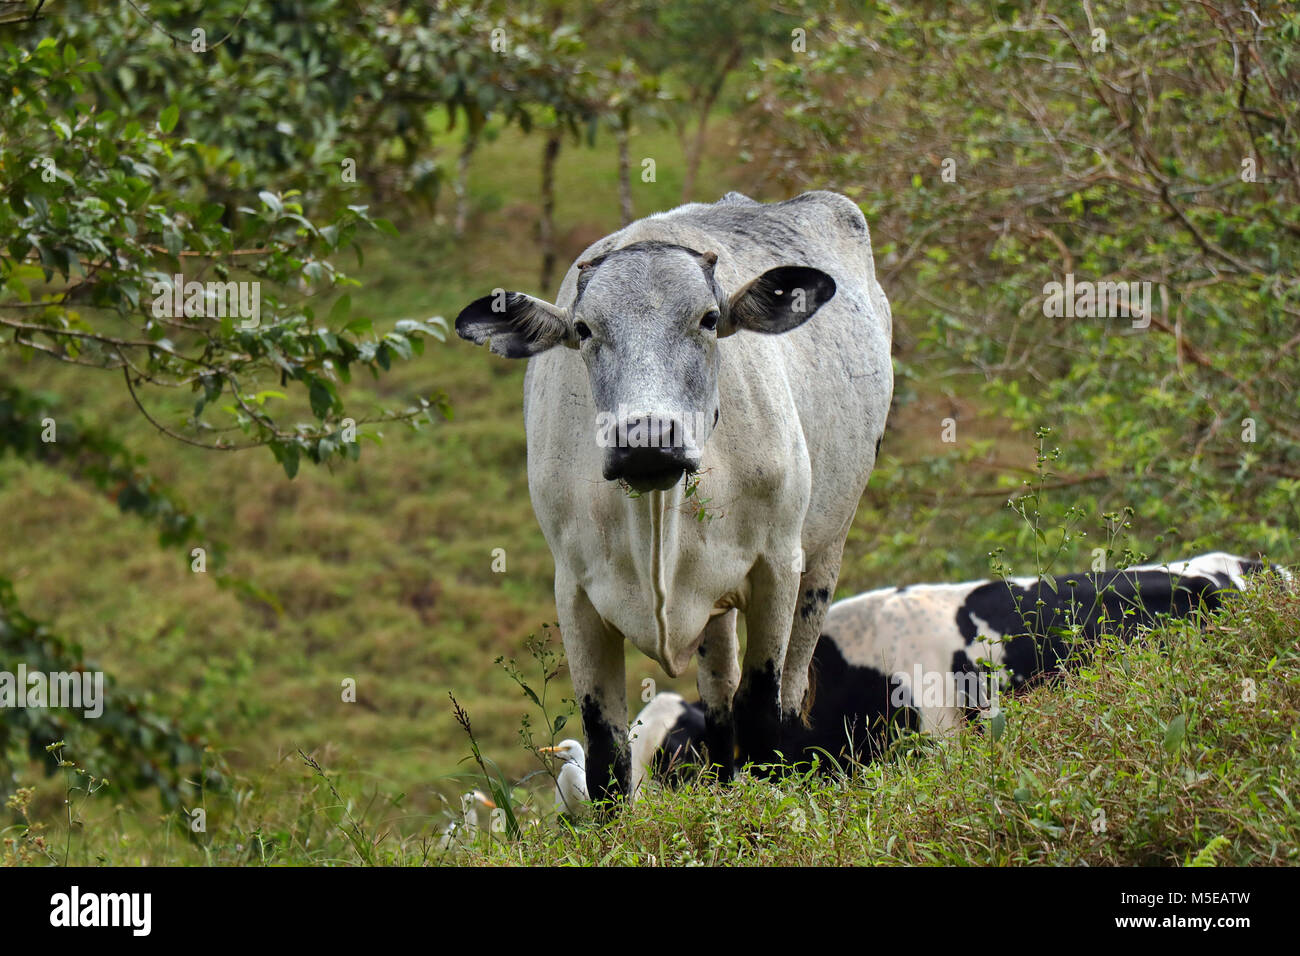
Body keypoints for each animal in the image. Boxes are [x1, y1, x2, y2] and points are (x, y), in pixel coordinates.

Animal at [455, 191, 893, 802]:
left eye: (709, 319)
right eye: (584, 328)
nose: (646, 438)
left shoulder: (776, 566)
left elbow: (762, 715)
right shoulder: (575, 592)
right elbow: (607, 752)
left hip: (824, 553)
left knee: (783, 691)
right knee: (718, 696)